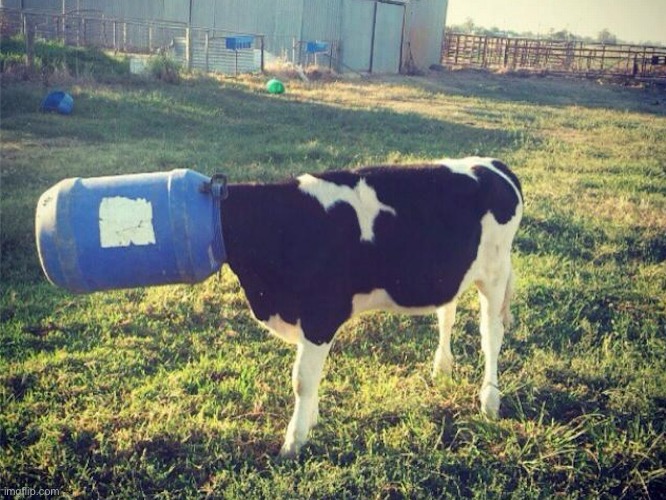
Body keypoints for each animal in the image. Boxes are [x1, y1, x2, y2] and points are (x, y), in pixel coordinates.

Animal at [220, 157, 523, 458]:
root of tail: (493, 165)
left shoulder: (320, 316)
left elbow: (302, 380)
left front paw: (293, 442)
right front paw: (311, 421)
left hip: (495, 274)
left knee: (491, 336)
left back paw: (490, 401)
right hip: (454, 275)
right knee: (447, 316)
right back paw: (441, 370)